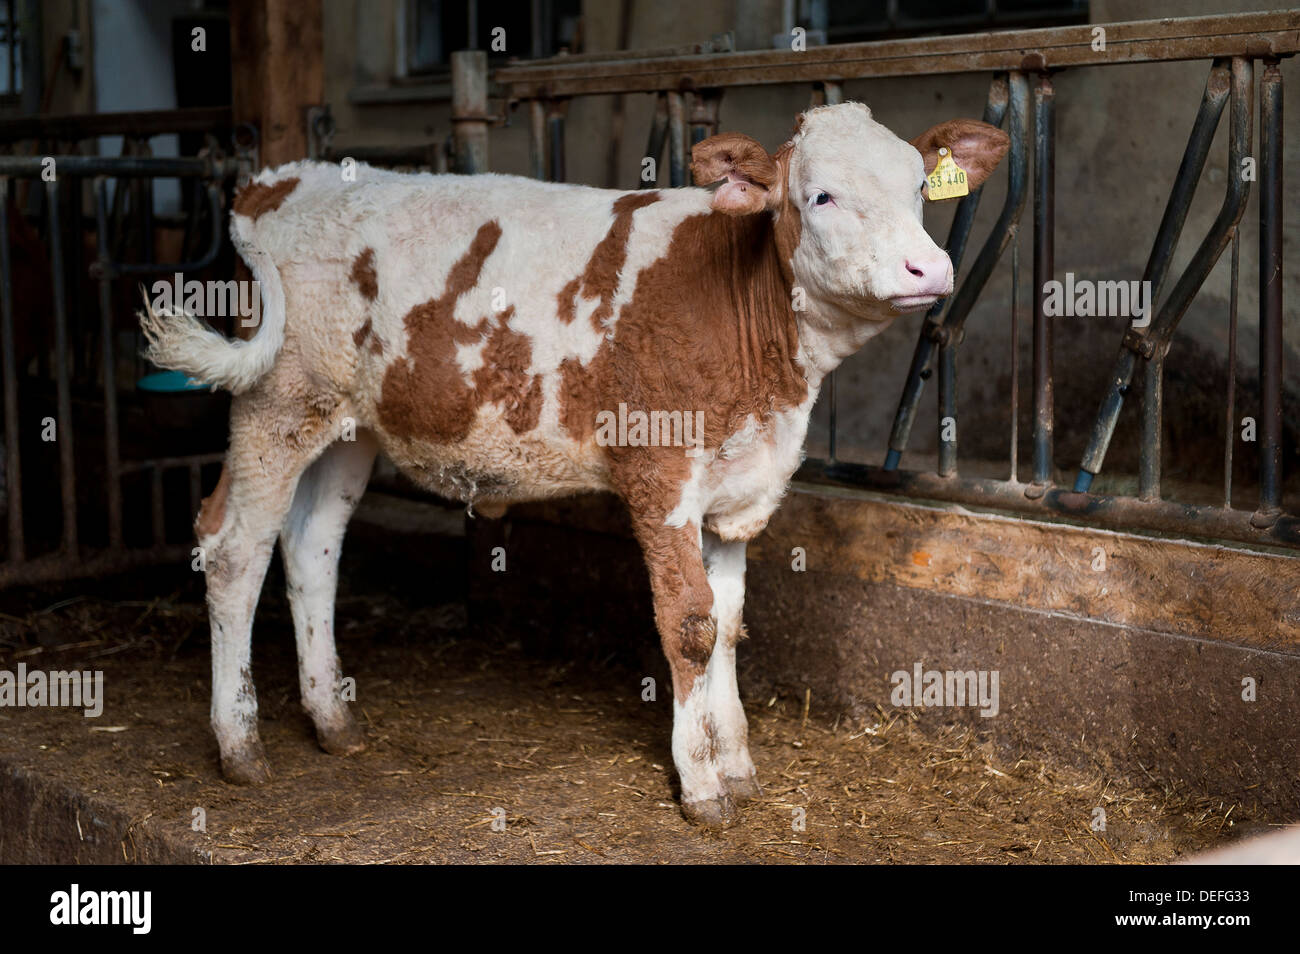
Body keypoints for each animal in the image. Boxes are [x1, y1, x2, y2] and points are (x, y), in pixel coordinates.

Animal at [141, 102, 1008, 828]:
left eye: (918, 186)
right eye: (822, 196)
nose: (929, 270)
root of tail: (282, 178)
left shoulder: (737, 489)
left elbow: (728, 624)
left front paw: (736, 762)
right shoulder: (660, 475)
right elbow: (690, 624)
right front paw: (700, 786)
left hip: (350, 425)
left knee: (312, 547)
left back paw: (333, 719)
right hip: (277, 400)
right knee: (234, 547)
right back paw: (239, 745)